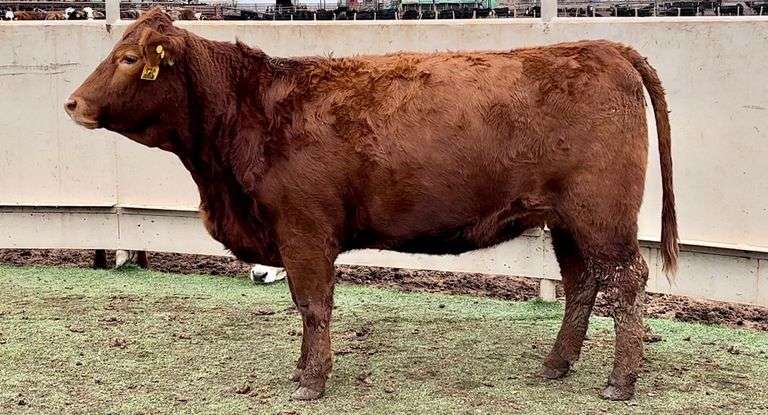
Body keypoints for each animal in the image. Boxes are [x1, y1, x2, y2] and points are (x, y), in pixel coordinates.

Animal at [65, 8, 678, 401]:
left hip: (602, 216)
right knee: (582, 284)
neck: (249, 113)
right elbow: (305, 307)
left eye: (127, 58)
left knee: (626, 281)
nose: (71, 103)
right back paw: (555, 365)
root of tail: (604, 48)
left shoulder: (304, 231)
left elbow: (312, 304)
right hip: (566, 221)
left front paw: (312, 381)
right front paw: (302, 372)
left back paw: (620, 382)